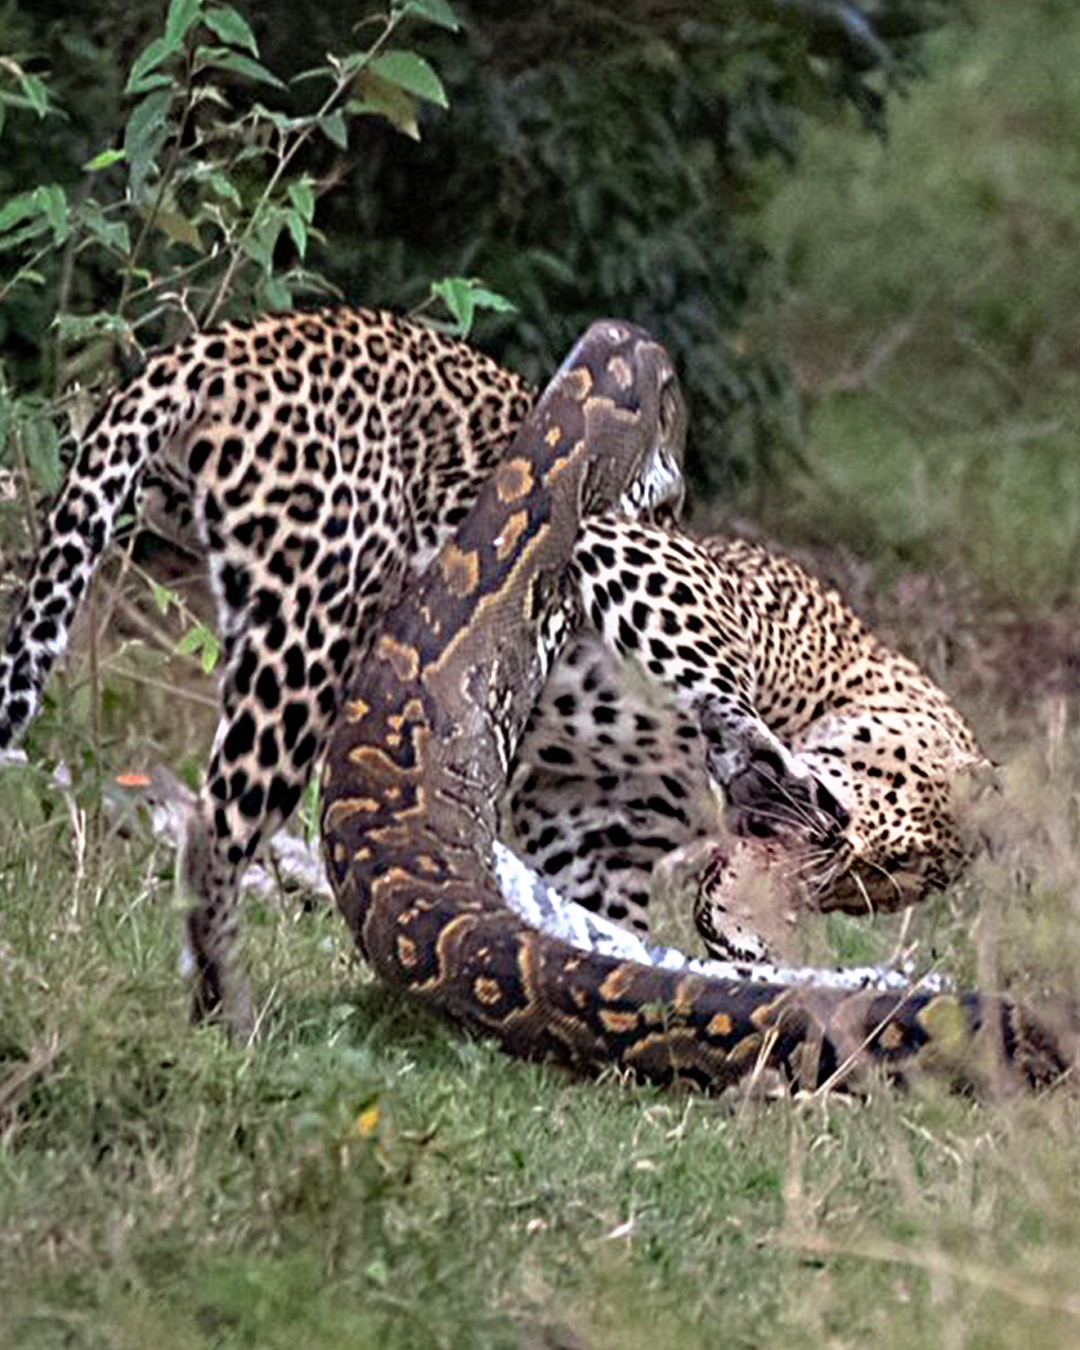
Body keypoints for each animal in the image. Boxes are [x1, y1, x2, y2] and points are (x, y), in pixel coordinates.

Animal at [506, 518, 990, 967]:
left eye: (864, 890)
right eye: (902, 857)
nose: (831, 858)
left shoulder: (580, 816)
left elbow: (601, 902)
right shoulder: (651, 556)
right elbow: (713, 665)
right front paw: (759, 757)